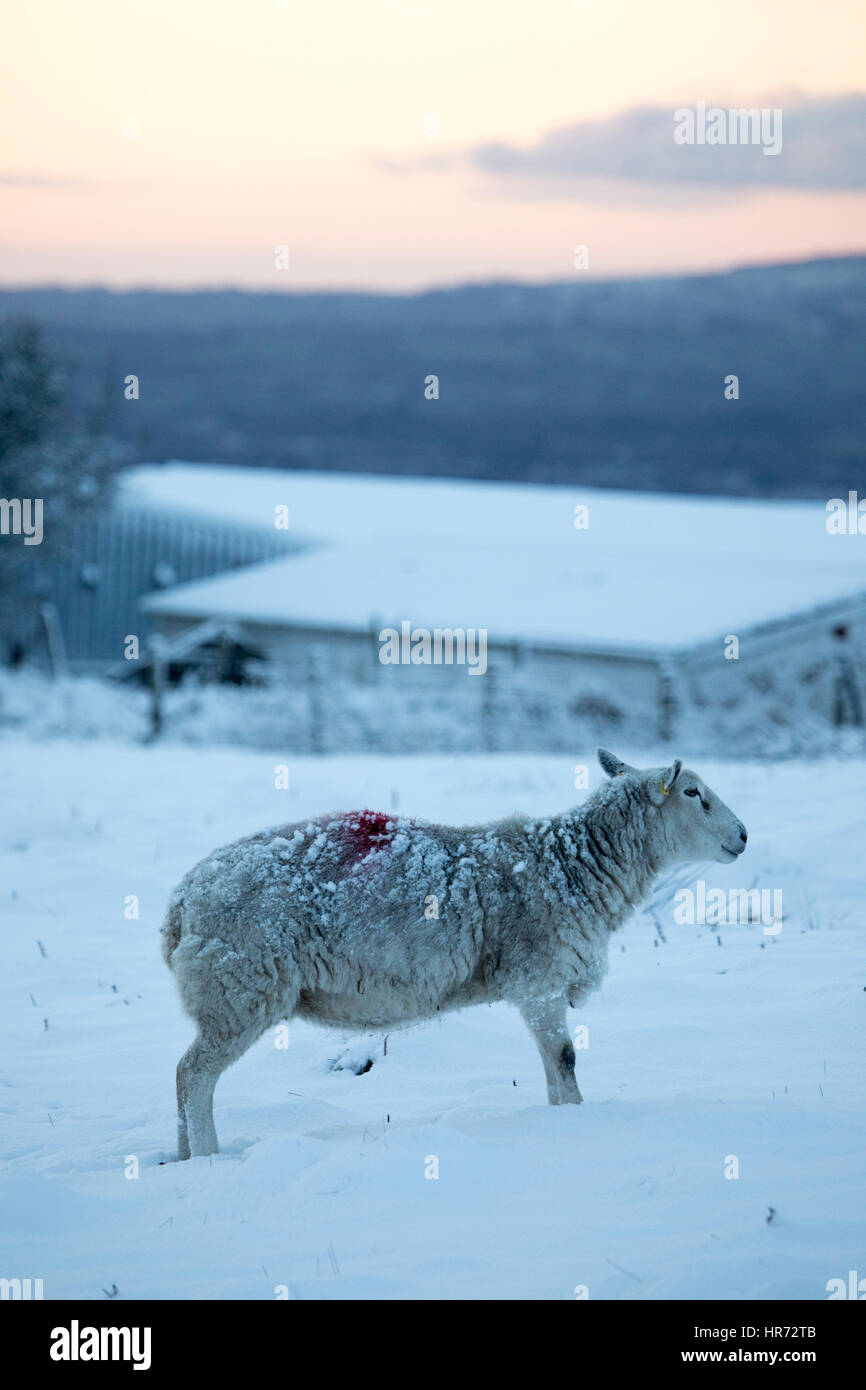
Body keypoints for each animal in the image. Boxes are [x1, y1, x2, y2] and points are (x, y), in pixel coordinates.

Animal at [162, 748, 747, 1159]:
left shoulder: (538, 987)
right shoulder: (540, 978)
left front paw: (560, 1121)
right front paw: (577, 1122)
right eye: (693, 792)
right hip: (237, 987)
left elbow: (551, 1064)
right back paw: (210, 1156)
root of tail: (181, 901)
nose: (743, 835)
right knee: (194, 1075)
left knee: (182, 1076)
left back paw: (185, 1155)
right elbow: (565, 1059)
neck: (574, 864)